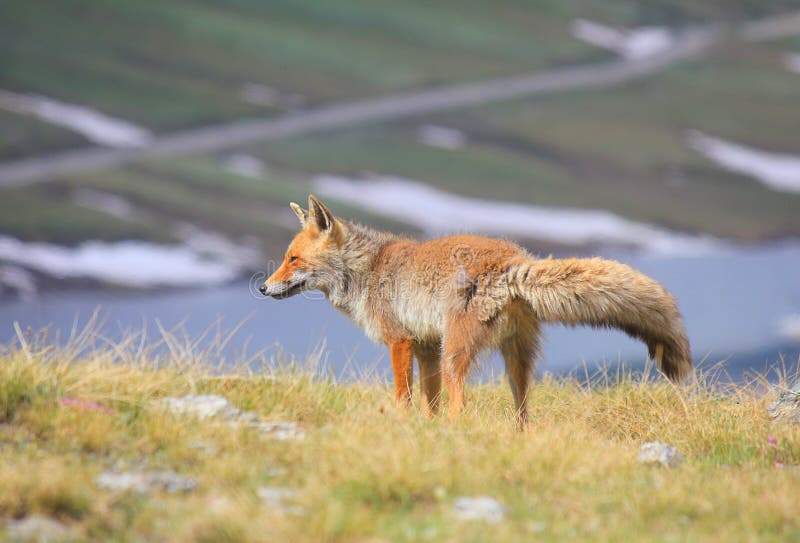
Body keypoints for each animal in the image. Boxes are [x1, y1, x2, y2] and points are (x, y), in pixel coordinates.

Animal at [260, 195, 692, 427]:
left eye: (292, 259)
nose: (262, 288)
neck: (369, 270)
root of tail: (516, 261)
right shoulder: (425, 347)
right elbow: (429, 402)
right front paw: (426, 430)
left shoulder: (401, 342)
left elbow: (405, 398)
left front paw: (405, 426)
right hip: (513, 361)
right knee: (522, 411)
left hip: (455, 354)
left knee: (461, 406)